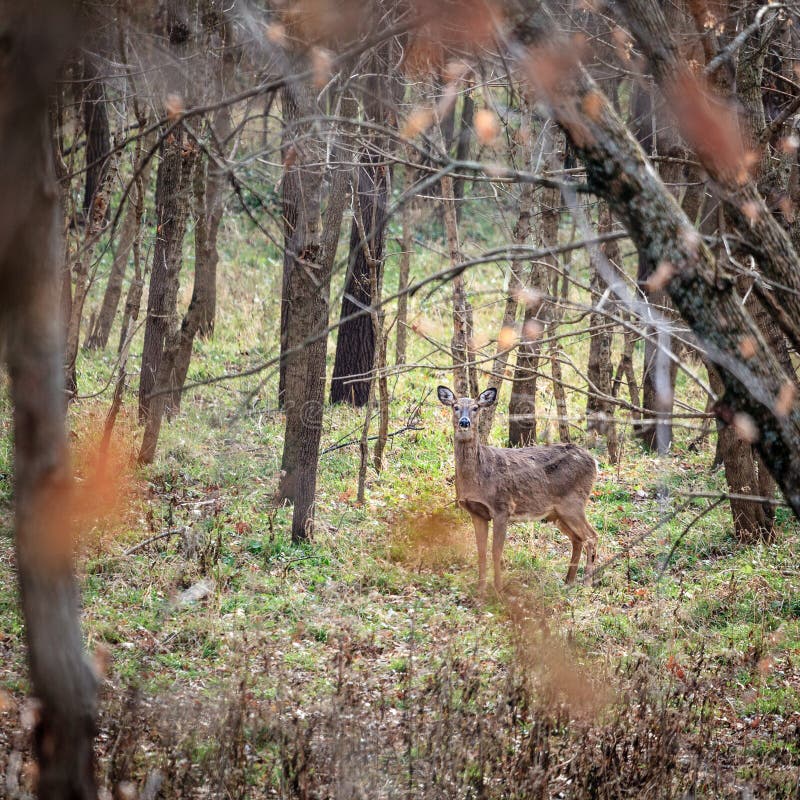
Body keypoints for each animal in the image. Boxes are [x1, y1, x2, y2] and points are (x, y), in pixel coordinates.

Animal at [437, 386, 599, 593]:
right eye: (455, 406)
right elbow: (480, 551)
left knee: (591, 537)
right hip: (557, 514)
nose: (464, 422)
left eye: (475, 408)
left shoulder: (502, 507)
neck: (478, 478)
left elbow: (496, 551)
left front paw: (498, 589)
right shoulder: (477, 513)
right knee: (577, 539)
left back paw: (586, 584)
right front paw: (480, 588)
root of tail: (593, 461)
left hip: (573, 503)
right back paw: (568, 581)